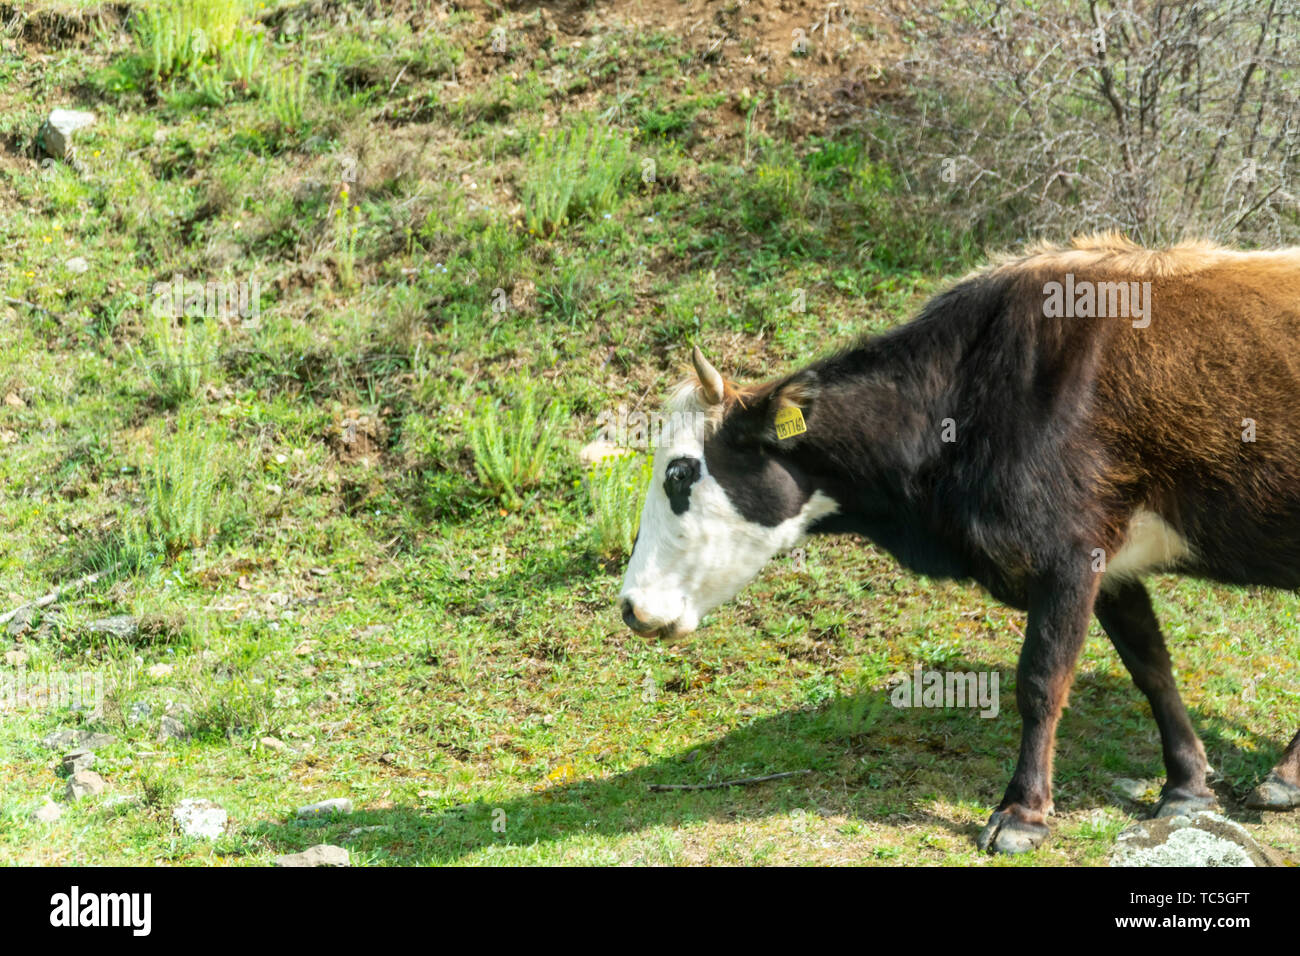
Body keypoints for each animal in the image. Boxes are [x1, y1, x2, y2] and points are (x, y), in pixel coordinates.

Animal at [618, 232, 1300, 854]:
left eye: (680, 472)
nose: (630, 606)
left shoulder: (1067, 554)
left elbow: (1041, 681)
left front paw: (1023, 814)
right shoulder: (1111, 563)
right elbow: (1152, 668)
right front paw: (1186, 786)